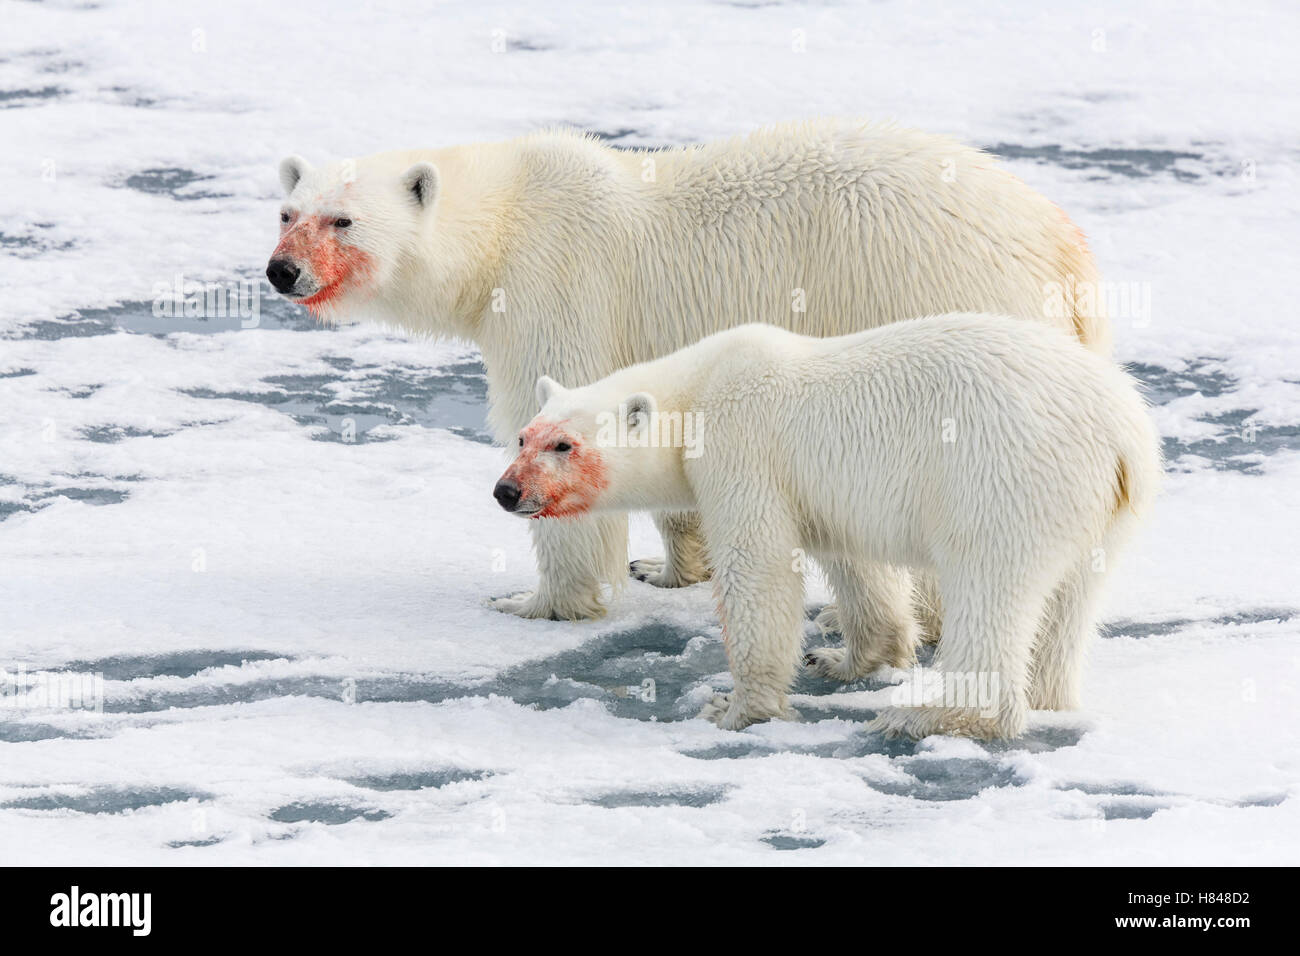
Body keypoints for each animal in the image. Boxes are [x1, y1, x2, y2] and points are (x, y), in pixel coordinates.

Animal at [267, 120, 1108, 627]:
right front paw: (663, 568)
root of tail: (1063, 248)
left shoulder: (558, 288)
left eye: (343, 220)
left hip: (933, 297)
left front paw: (535, 600)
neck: (504, 224)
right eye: (287, 212)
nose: (282, 272)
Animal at [493, 315, 1161, 739]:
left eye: (564, 445)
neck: (696, 391)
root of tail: (1120, 431)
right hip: (1103, 511)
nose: (507, 492)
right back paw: (1049, 697)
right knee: (1071, 600)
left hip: (1004, 480)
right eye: (524, 437)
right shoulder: (821, 494)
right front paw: (841, 657)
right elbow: (854, 562)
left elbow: (758, 568)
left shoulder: (742, 447)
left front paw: (733, 706)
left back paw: (926, 716)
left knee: (990, 587)